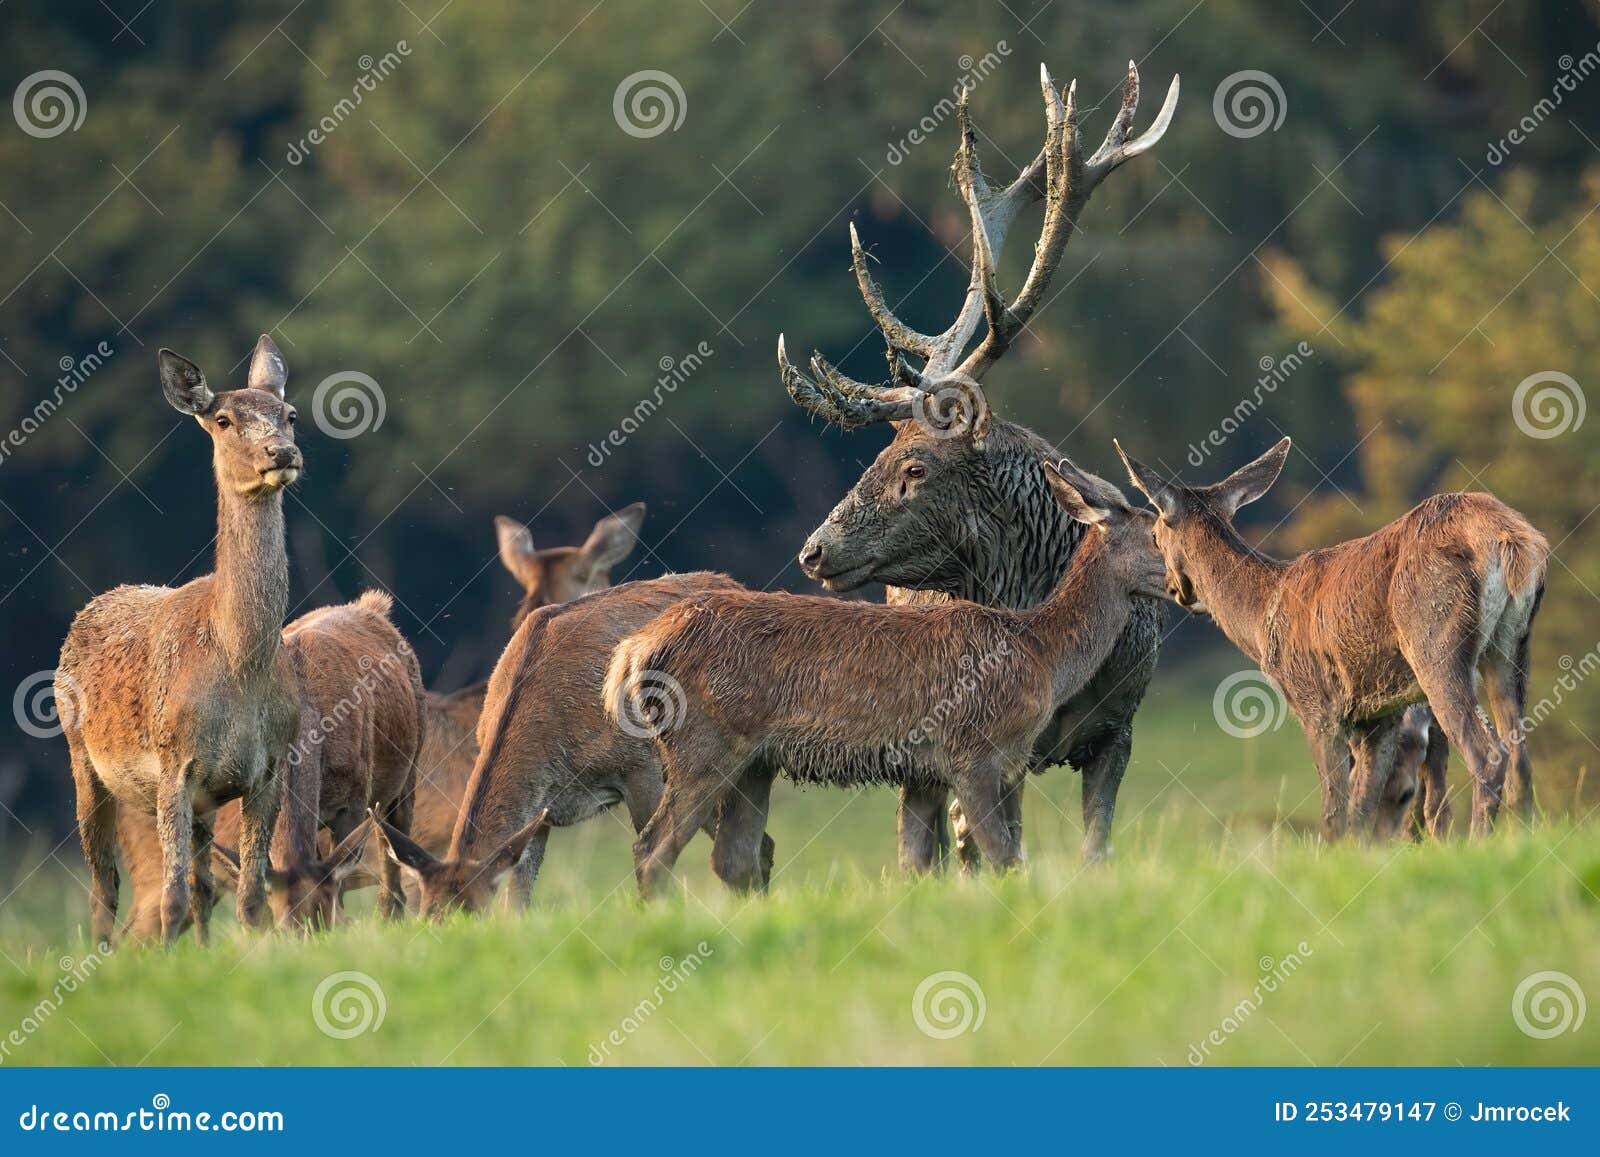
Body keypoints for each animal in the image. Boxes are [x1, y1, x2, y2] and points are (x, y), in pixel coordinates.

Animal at [58, 337, 301, 947]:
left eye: (289, 414)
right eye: (223, 419)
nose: (281, 452)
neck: (239, 662)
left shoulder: (268, 768)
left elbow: (252, 900)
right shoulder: (175, 764)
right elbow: (169, 900)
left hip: (206, 802)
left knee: (204, 887)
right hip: (81, 759)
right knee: (104, 890)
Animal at [371, 572, 778, 917]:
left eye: (472, 916)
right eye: (426, 920)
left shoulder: (641, 768)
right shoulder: (540, 812)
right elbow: (518, 901)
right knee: (761, 844)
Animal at [609, 460, 1171, 898]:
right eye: (1158, 534)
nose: (1186, 580)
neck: (1043, 655)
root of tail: (633, 653)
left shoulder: (951, 767)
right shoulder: (971, 749)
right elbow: (1004, 858)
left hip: (754, 762)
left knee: (734, 859)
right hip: (703, 743)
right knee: (653, 847)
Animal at [779, 61, 1178, 868]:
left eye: (916, 469)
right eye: (879, 454)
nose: (814, 550)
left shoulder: (1118, 728)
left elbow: (1096, 847)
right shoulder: (984, 749)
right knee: (920, 848)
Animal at [1116, 437, 1547, 838]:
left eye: (1155, 534)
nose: (1175, 589)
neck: (1261, 615)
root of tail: (1514, 540)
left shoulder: (1317, 702)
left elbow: (1334, 812)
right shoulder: (1380, 714)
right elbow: (1362, 811)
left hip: (1434, 639)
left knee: (1488, 752)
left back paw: (1479, 842)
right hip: (1512, 644)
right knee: (1519, 756)